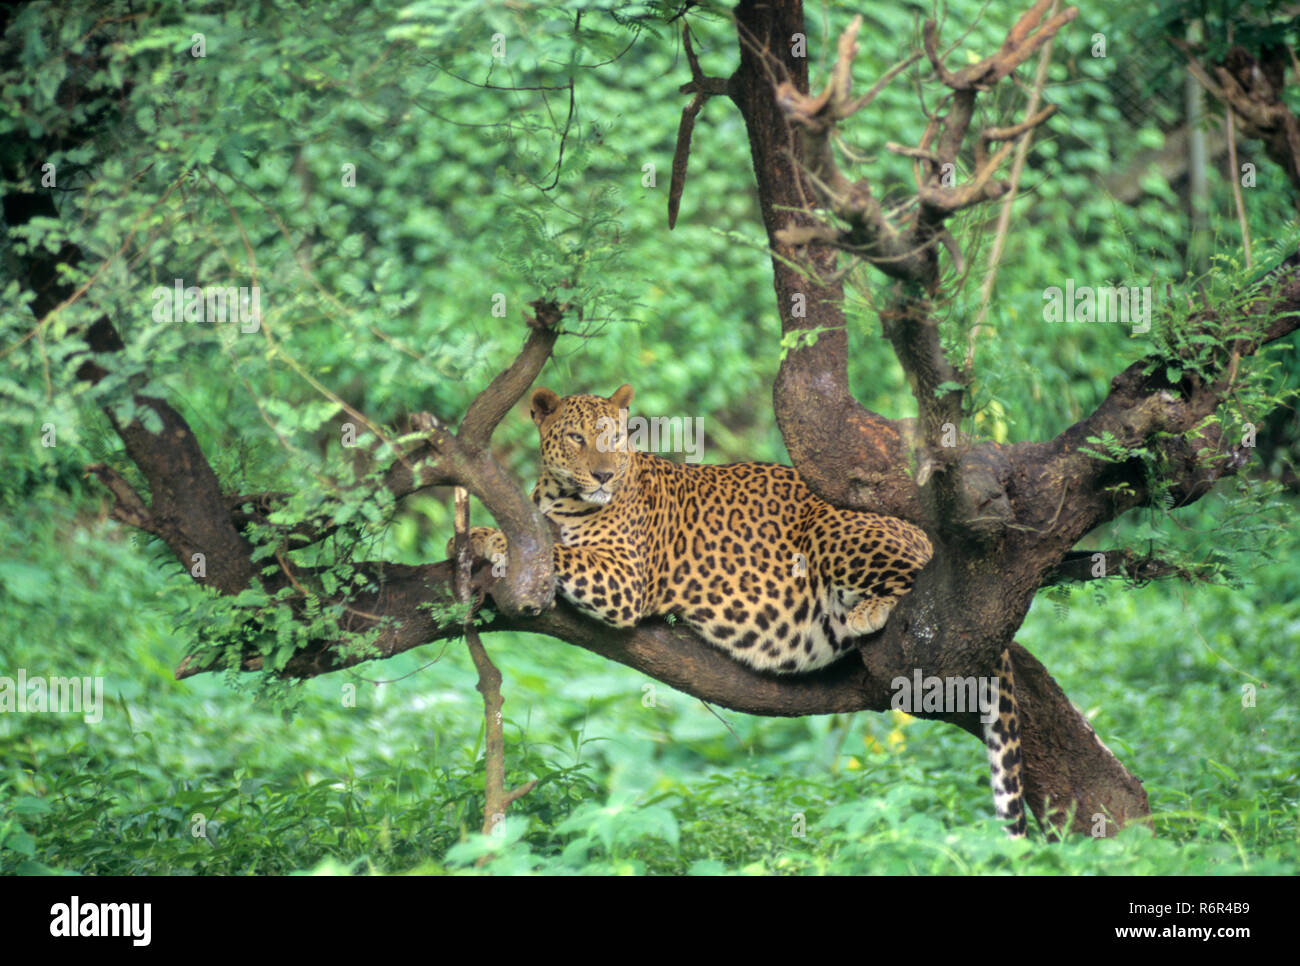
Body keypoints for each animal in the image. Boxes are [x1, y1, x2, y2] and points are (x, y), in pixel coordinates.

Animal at [458, 384, 1026, 836]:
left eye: (616, 438)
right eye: (576, 438)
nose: (602, 474)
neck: (561, 499)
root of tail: (924, 530)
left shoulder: (623, 577)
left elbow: (557, 552)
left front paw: (490, 537)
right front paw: (482, 535)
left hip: (834, 529)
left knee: (915, 583)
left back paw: (873, 609)